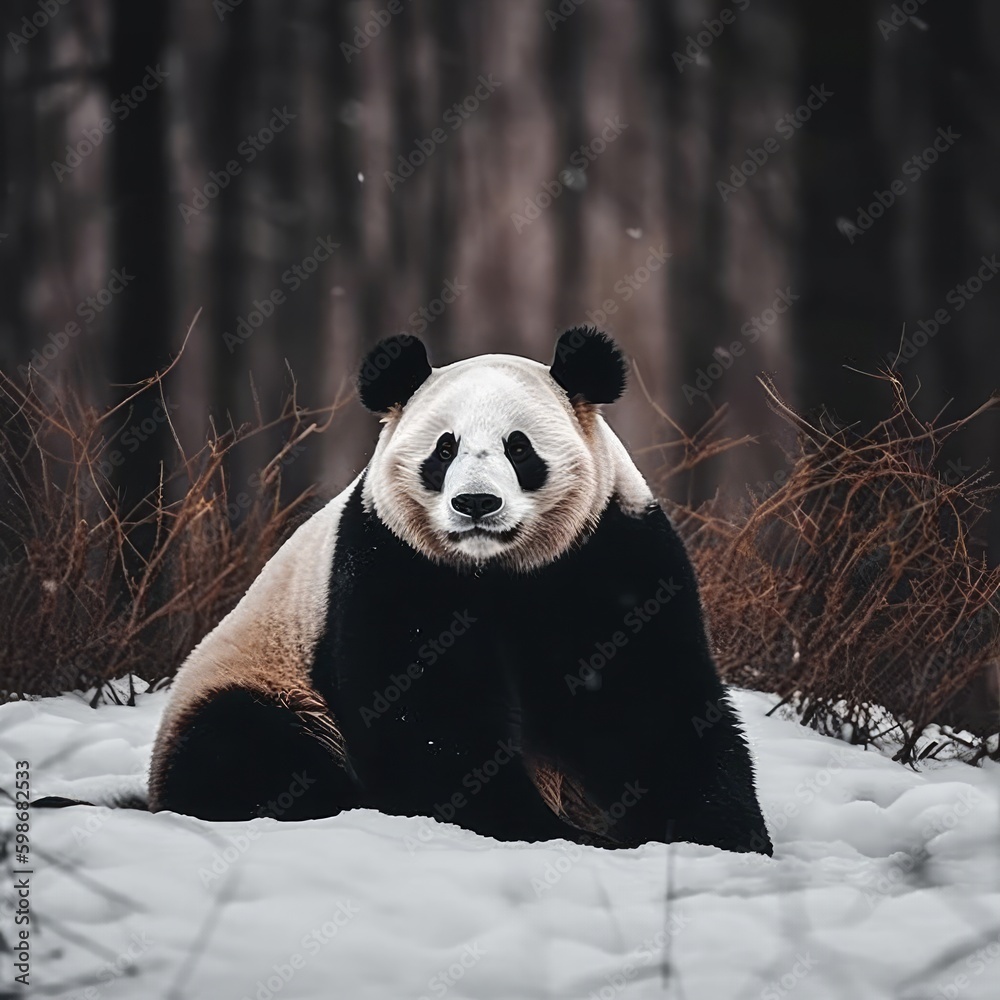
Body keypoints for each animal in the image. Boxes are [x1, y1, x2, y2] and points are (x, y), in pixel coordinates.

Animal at [149, 327, 772, 854]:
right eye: (444, 449)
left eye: (519, 448)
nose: (476, 503)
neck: (499, 569)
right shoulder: (393, 561)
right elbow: (430, 716)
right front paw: (540, 830)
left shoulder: (609, 552)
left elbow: (652, 698)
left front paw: (723, 835)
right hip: (264, 673)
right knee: (246, 747)